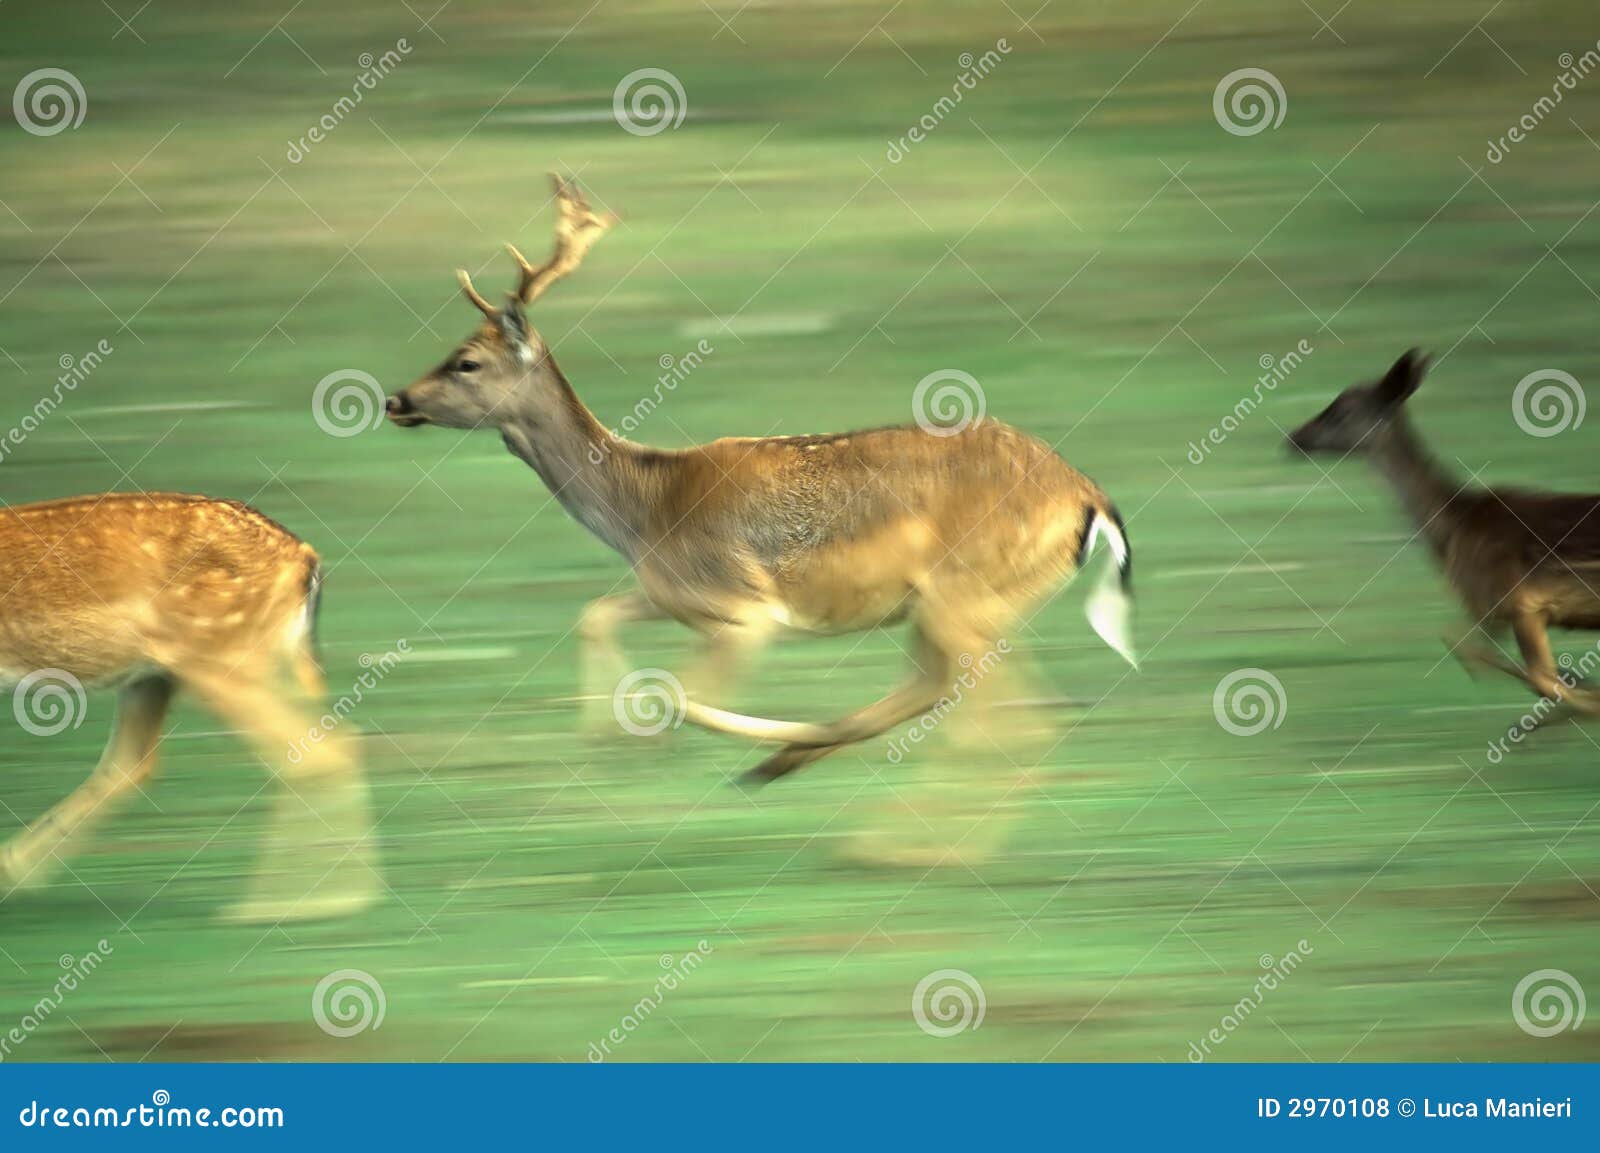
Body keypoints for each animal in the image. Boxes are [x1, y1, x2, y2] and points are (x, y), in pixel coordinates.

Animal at [0, 492, 380, 921]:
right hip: (165, 672)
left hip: (219, 656)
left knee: (316, 751)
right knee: (131, 764)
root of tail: (305, 559)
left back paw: (286, 904)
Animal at [384, 175, 1138, 785]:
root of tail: (1088, 497)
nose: (396, 399)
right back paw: (792, 762)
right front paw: (598, 734)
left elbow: (675, 694)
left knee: (994, 707)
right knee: (943, 687)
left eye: (465, 361)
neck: (644, 509)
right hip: (955, 603)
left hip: (966, 589)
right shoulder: (670, 590)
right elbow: (594, 613)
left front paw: (674, 737)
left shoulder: (744, 605)